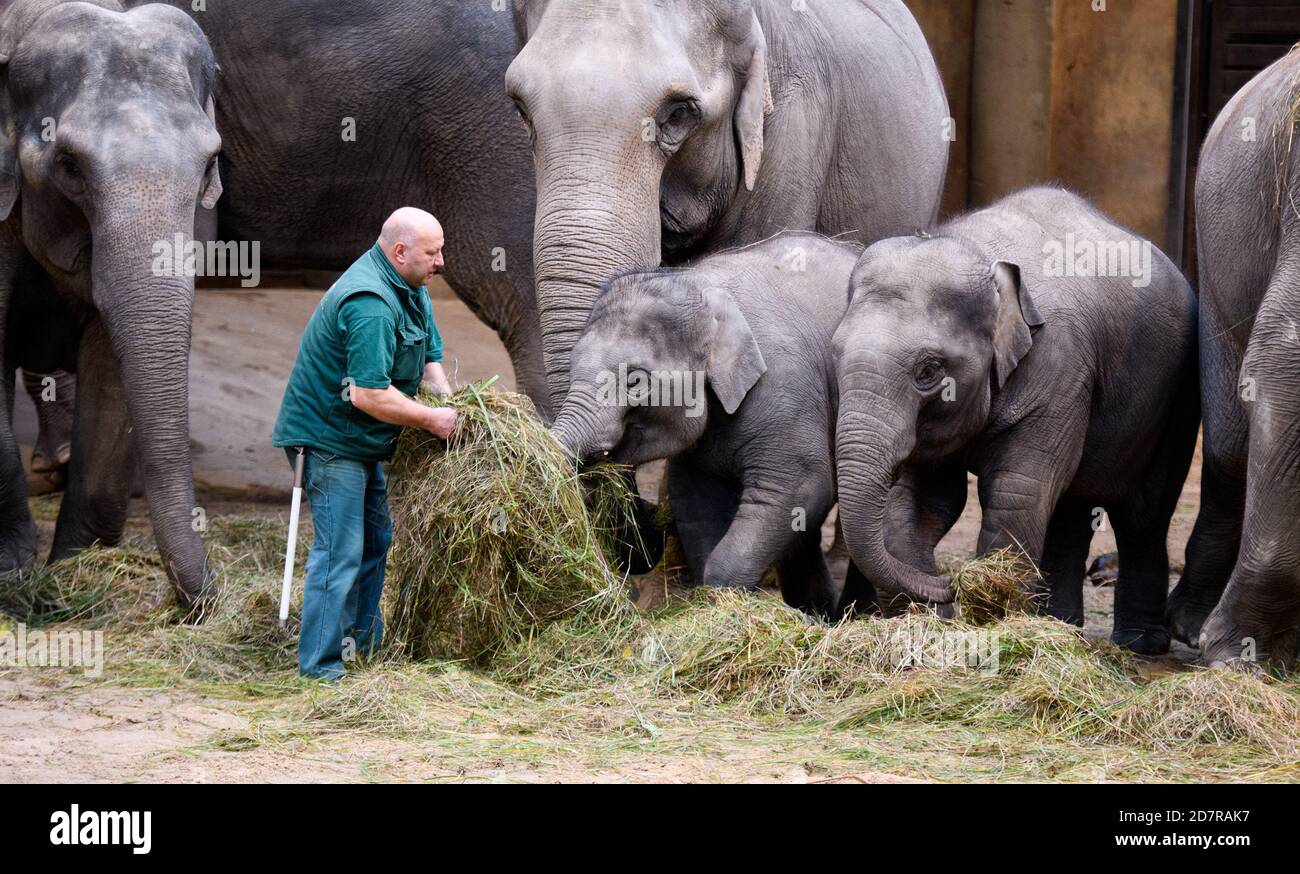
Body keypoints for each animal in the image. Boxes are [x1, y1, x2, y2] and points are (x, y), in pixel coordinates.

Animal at [0, 0, 224, 604]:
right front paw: (12, 572)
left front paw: (74, 569)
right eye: (69, 164)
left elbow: (110, 370)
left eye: (209, 165)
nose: (200, 602)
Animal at [551, 233, 860, 615]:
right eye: (572, 365)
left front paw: (725, 597)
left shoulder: (786, 387)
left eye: (635, 381)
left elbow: (802, 486)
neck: (701, 286)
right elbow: (695, 501)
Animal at [832, 187, 1200, 655]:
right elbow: (923, 498)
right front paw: (927, 622)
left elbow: (1016, 488)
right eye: (835, 355)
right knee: (1072, 508)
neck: (981, 254)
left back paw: (1139, 644)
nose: (950, 584)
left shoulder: (1061, 363)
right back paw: (1062, 625)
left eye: (929, 371)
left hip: (1179, 398)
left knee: (1143, 511)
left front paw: (991, 619)